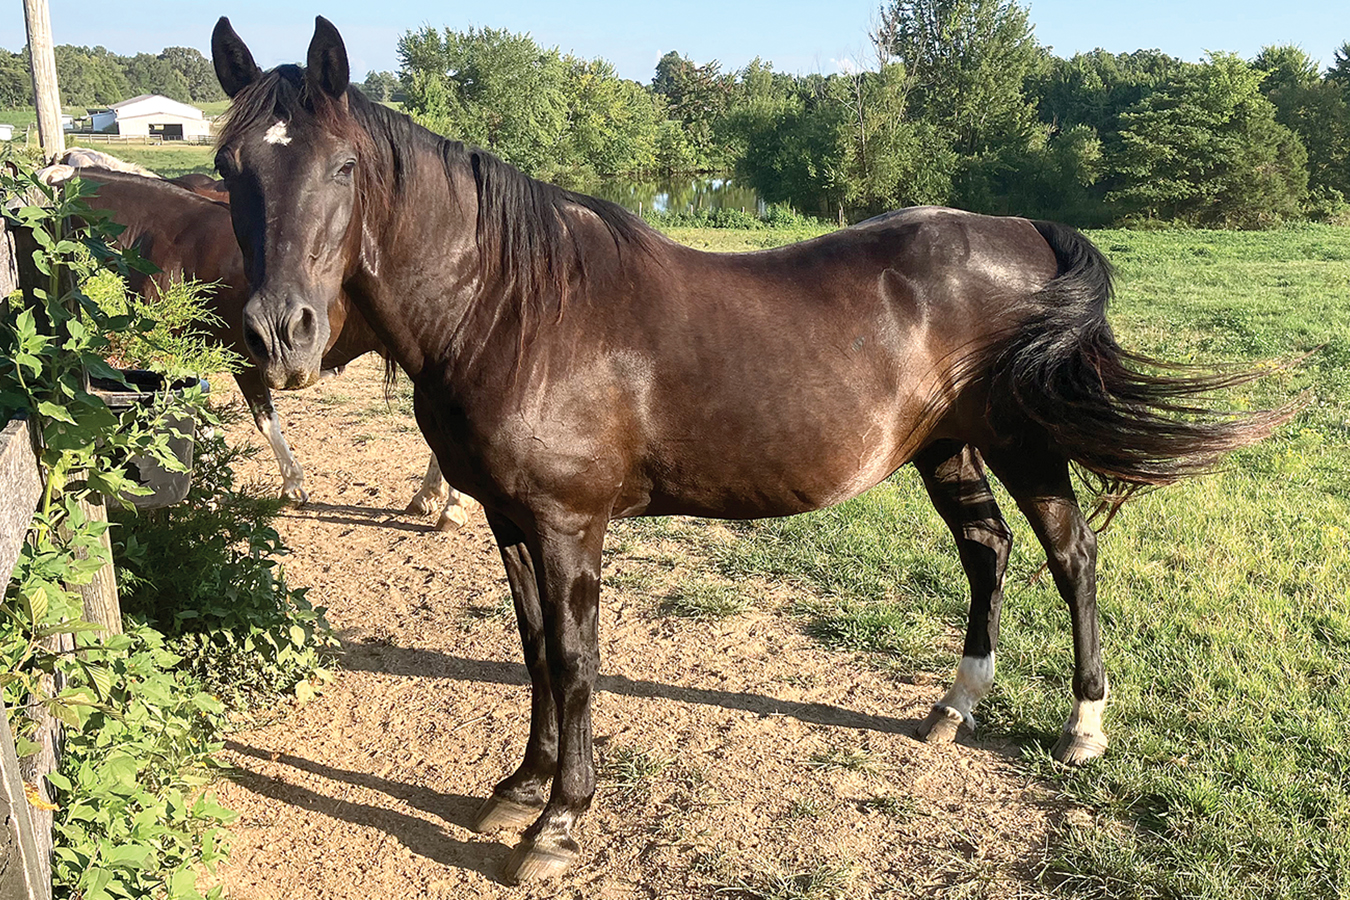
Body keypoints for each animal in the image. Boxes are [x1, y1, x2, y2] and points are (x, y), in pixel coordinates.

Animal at [41, 164, 473, 529]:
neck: (161, 231)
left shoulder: (230, 358)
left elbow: (262, 420)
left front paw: (291, 485)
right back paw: (429, 496)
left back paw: (450, 505)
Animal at [210, 16, 1289, 883]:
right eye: (230, 169)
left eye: (345, 168)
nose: (280, 334)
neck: (515, 308)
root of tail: (1025, 229)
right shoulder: (510, 521)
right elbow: (530, 654)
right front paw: (519, 787)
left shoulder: (568, 525)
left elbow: (573, 661)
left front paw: (558, 824)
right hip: (948, 448)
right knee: (988, 553)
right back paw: (954, 706)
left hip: (1023, 445)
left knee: (1072, 557)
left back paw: (1083, 727)